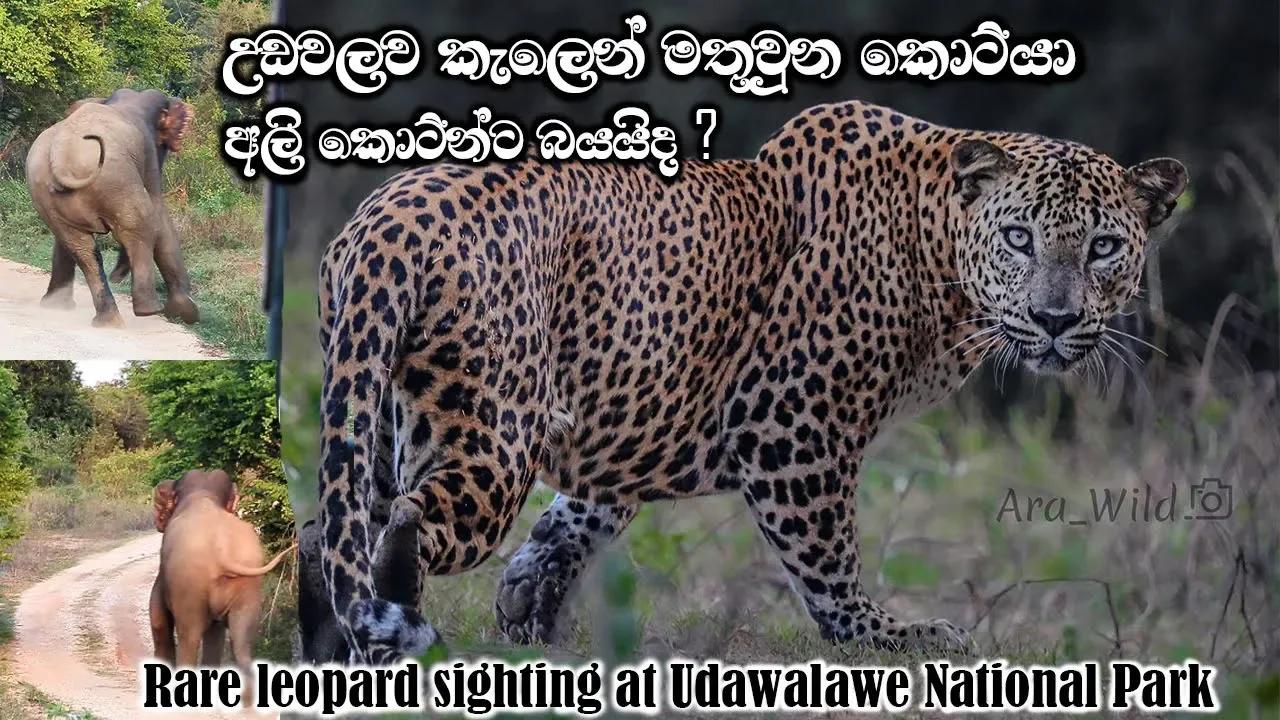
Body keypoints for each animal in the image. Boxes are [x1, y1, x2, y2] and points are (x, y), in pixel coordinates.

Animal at [25, 88, 199, 327]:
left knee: (81, 248)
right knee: (141, 225)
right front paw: (186, 313)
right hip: (115, 181)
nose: (117, 273)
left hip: (46, 193)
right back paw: (147, 310)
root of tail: (62, 157)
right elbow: (158, 211)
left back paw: (103, 319)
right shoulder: (148, 151)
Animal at [150, 469, 291, 683]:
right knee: (240, 643)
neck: (203, 496)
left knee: (189, 637)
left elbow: (159, 619)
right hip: (248, 586)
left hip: (189, 585)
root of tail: (221, 552)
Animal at [299, 99, 1186, 664]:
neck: (938, 255)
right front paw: (883, 636)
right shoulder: (791, 425)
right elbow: (826, 555)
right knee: (401, 526)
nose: (1055, 319)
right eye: (1018, 237)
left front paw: (528, 601)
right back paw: (394, 637)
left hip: (370, 399)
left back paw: (330, 649)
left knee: (329, 531)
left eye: (1105, 247)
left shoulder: (627, 418)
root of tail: (389, 218)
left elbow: (578, 517)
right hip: (491, 428)